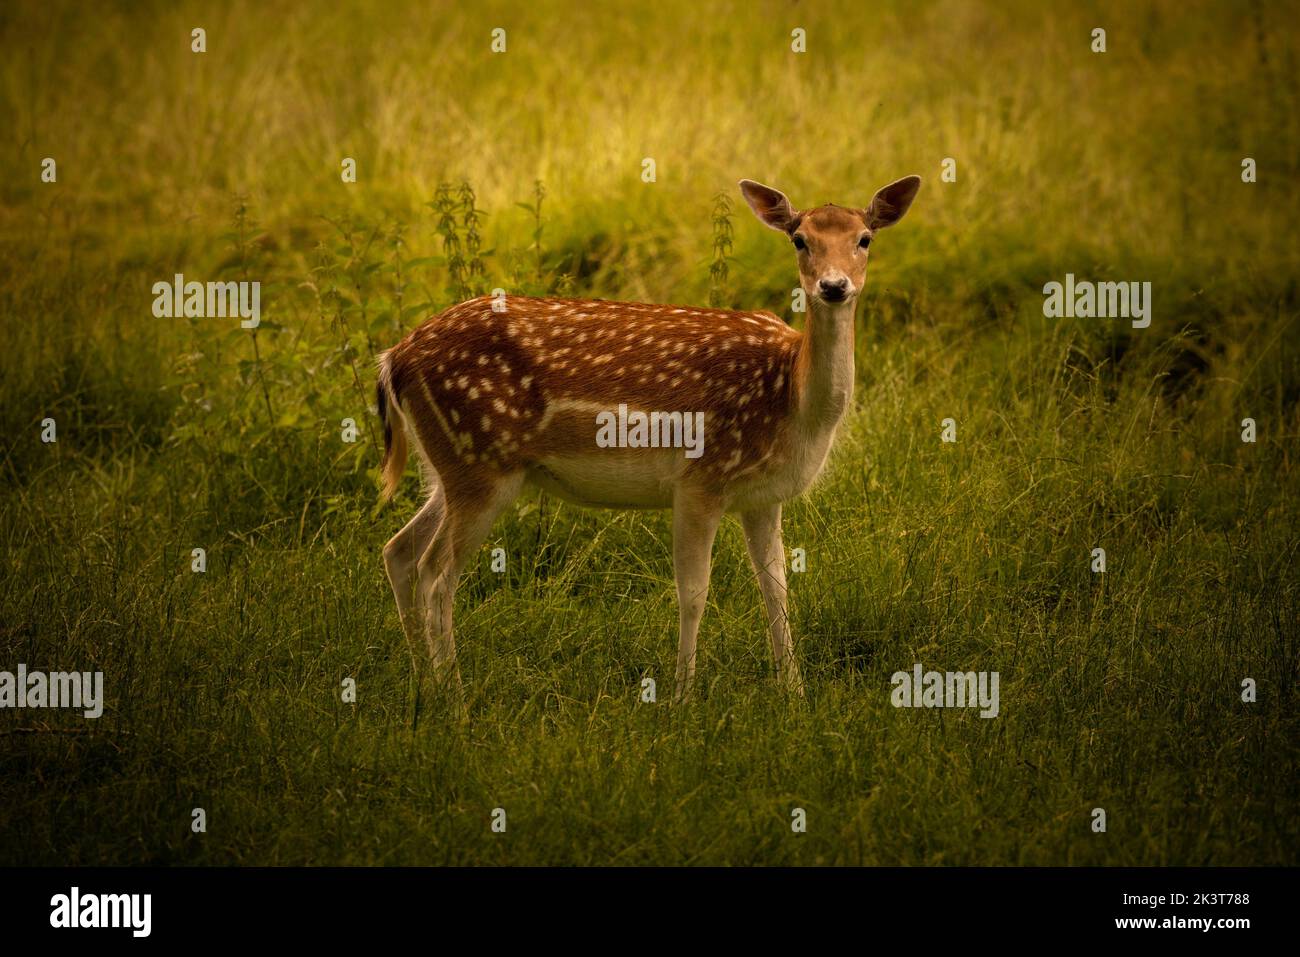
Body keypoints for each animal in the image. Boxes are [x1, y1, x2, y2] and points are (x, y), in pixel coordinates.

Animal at [376, 174, 921, 703]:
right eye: (799, 239)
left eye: (864, 239)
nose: (834, 286)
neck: (791, 399)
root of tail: (393, 359)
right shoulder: (701, 478)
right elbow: (694, 592)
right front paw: (682, 699)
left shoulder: (763, 497)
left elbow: (778, 589)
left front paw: (795, 694)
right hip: (480, 460)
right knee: (436, 573)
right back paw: (454, 698)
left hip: (449, 466)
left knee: (399, 551)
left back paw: (423, 684)